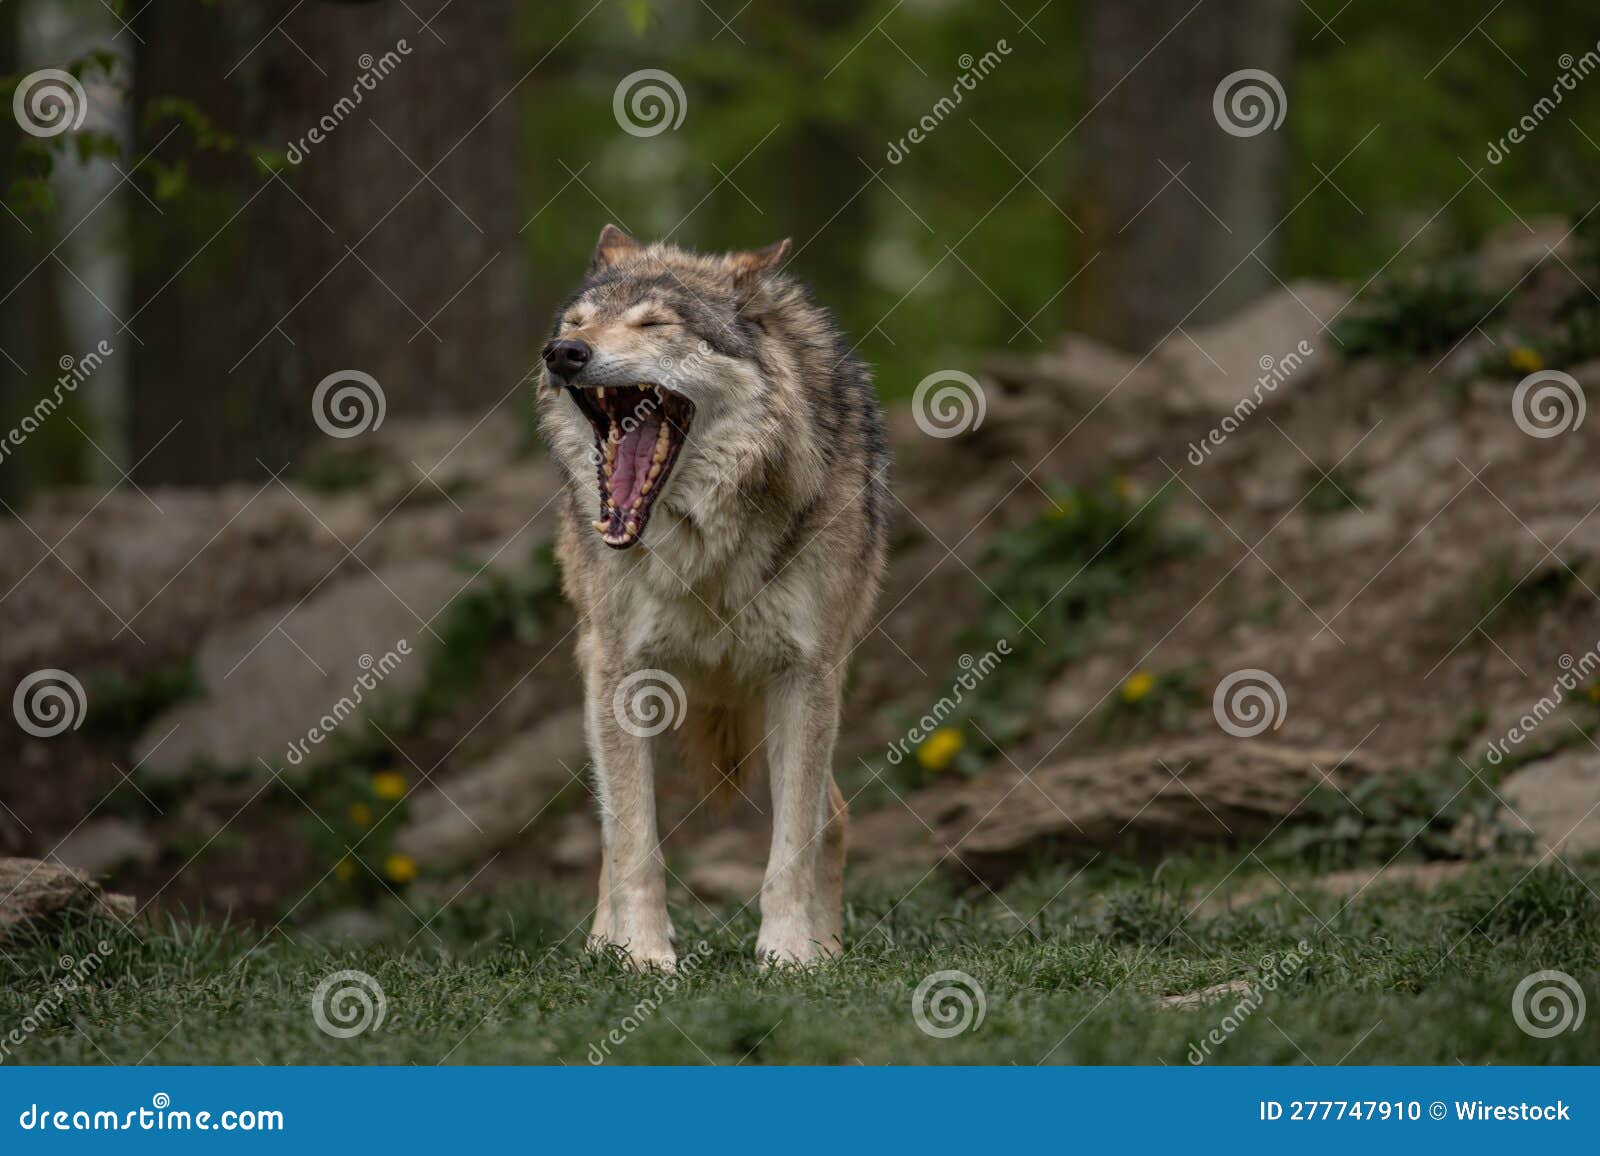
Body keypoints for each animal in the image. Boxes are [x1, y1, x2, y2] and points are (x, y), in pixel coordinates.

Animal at [536, 225, 890, 968]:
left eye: (654, 325)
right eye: (577, 324)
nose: (565, 355)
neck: (707, 546)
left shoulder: (805, 674)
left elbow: (792, 847)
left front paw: (790, 958)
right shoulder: (620, 671)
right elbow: (634, 841)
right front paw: (643, 959)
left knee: (833, 815)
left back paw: (830, 949)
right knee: (609, 832)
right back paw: (598, 948)